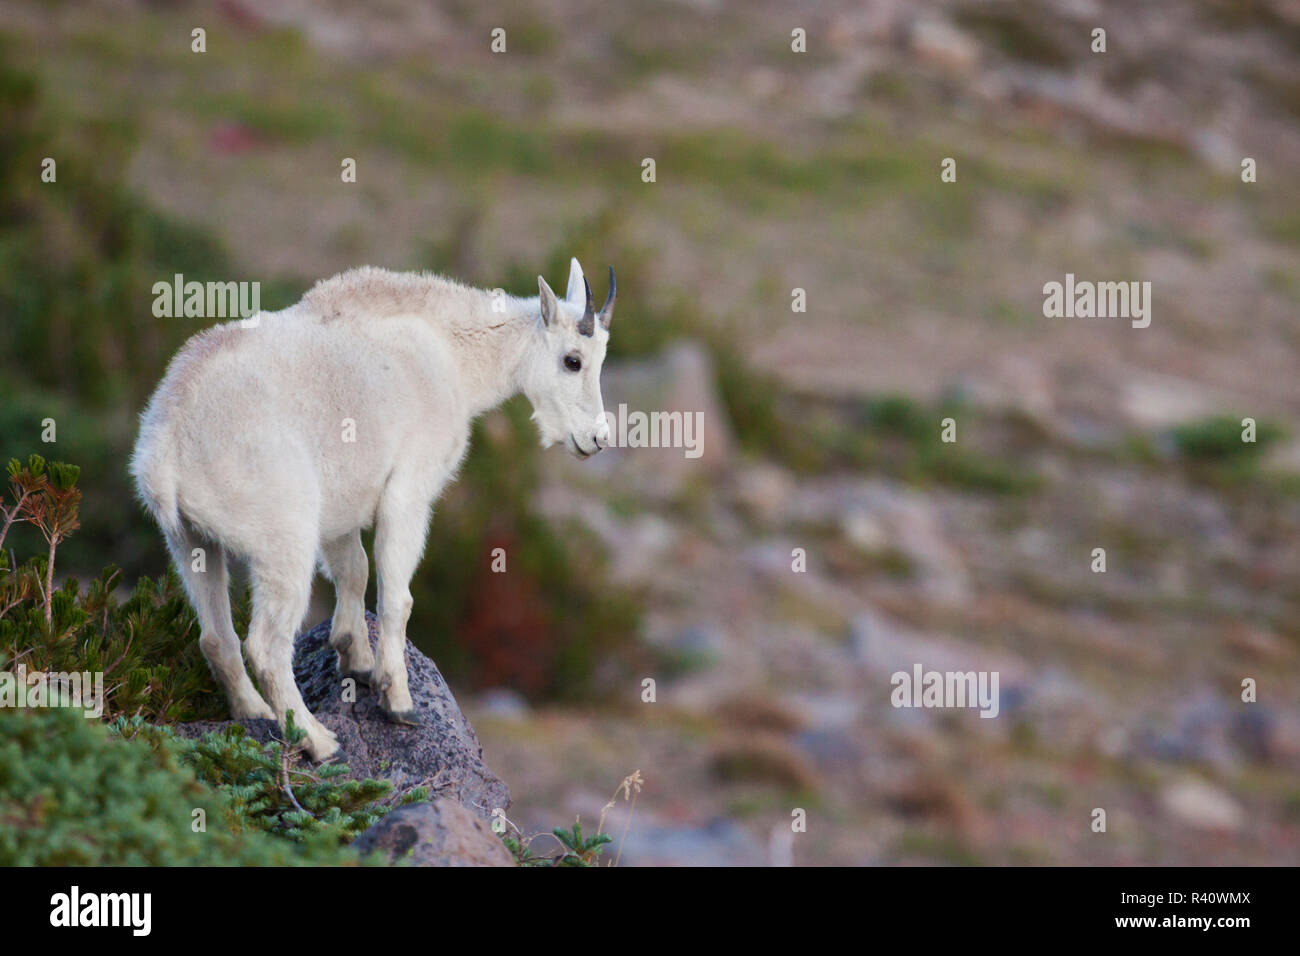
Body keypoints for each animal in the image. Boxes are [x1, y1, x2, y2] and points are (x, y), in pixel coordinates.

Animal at [130, 259, 615, 760]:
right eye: (573, 360)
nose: (597, 439)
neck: (453, 356)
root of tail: (165, 452)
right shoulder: (409, 490)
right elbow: (396, 598)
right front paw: (396, 698)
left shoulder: (342, 502)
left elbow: (355, 570)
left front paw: (355, 659)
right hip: (284, 541)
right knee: (265, 646)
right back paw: (318, 740)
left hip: (189, 540)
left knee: (215, 637)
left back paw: (255, 713)